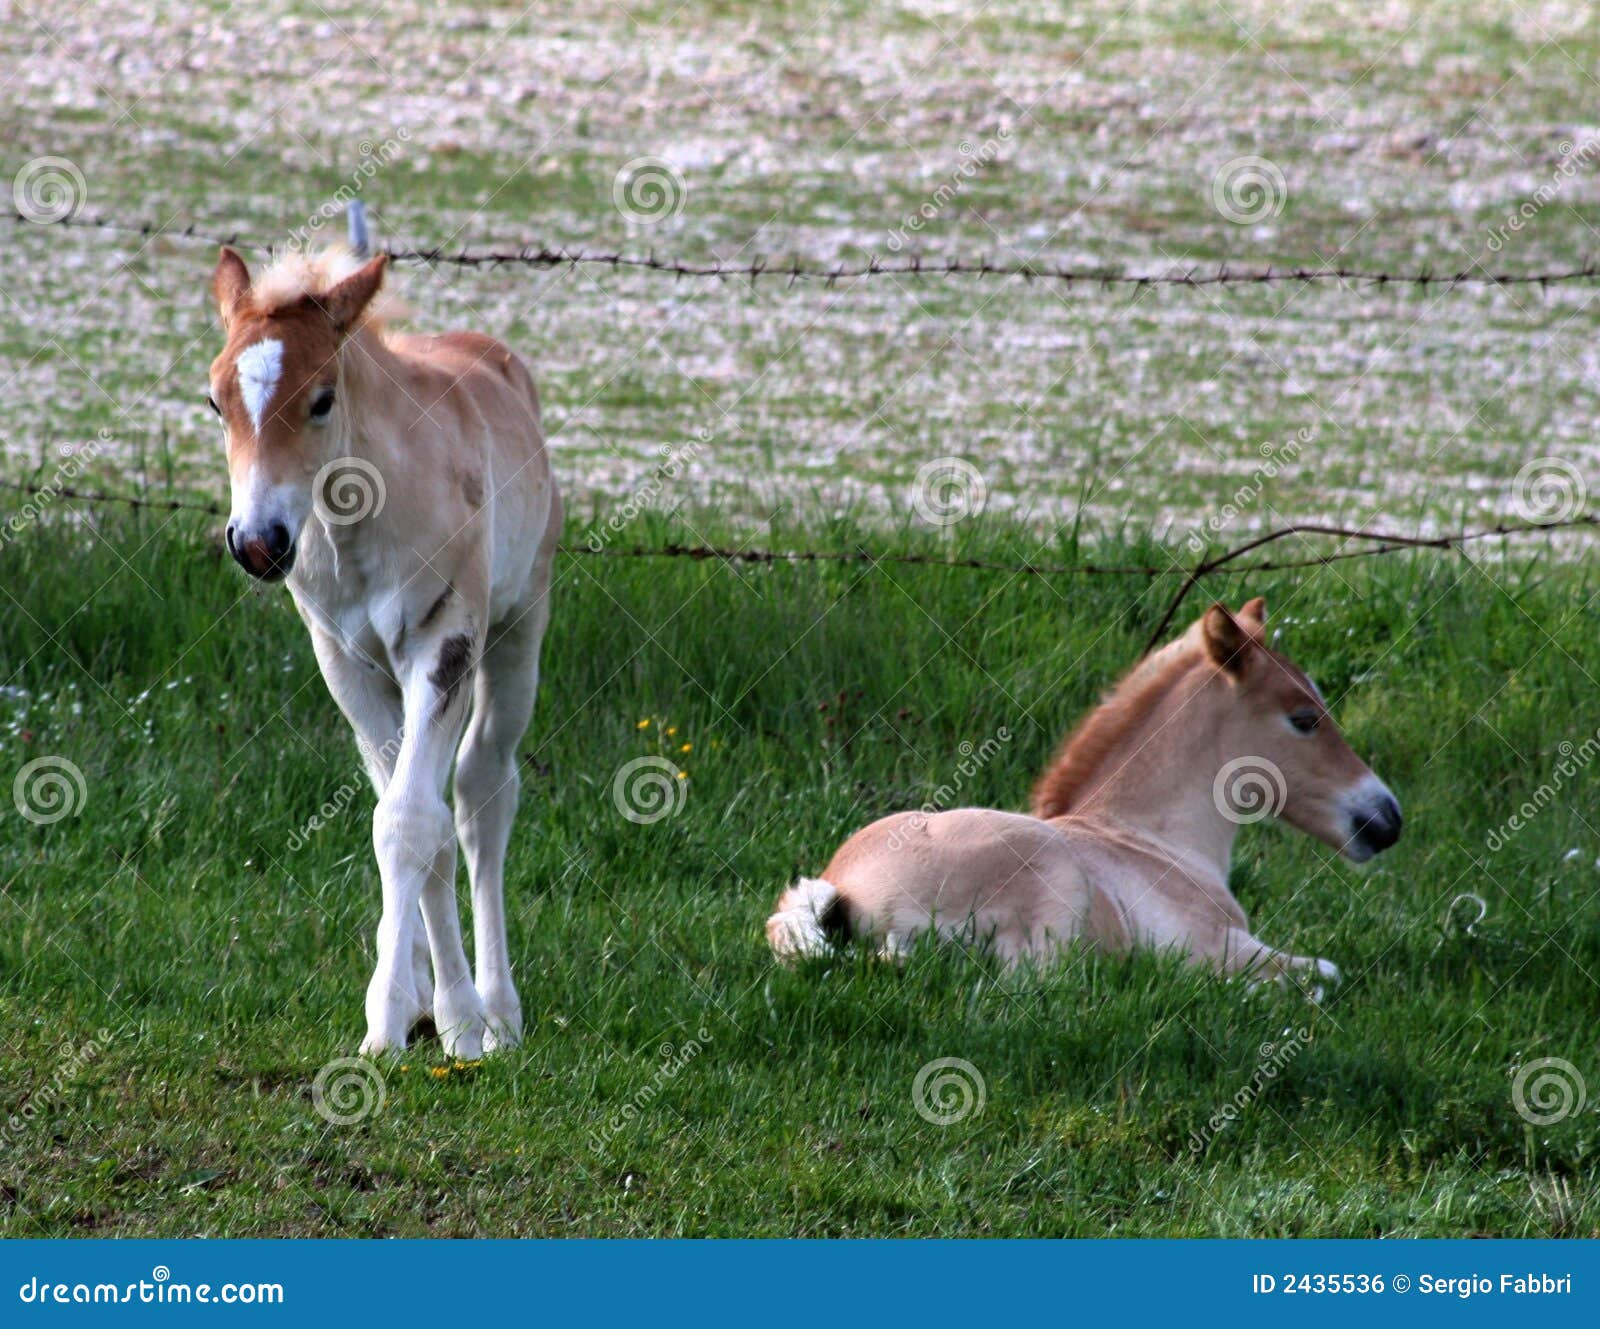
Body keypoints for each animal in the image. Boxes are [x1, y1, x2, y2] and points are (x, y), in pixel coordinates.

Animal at [207, 245, 561, 1057]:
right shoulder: (346, 662)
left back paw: (502, 1010)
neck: (353, 522)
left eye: (323, 399)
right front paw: (419, 1008)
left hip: (519, 628)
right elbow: (401, 817)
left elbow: (412, 821)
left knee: (483, 793)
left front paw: (436, 1026)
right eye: (216, 402)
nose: (257, 543)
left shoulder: (445, 638)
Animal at [766, 598, 1401, 990]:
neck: (1154, 843)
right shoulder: (1218, 943)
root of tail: (840, 886)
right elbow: (1324, 972)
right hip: (1053, 889)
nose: (1387, 818)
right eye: (1304, 719)